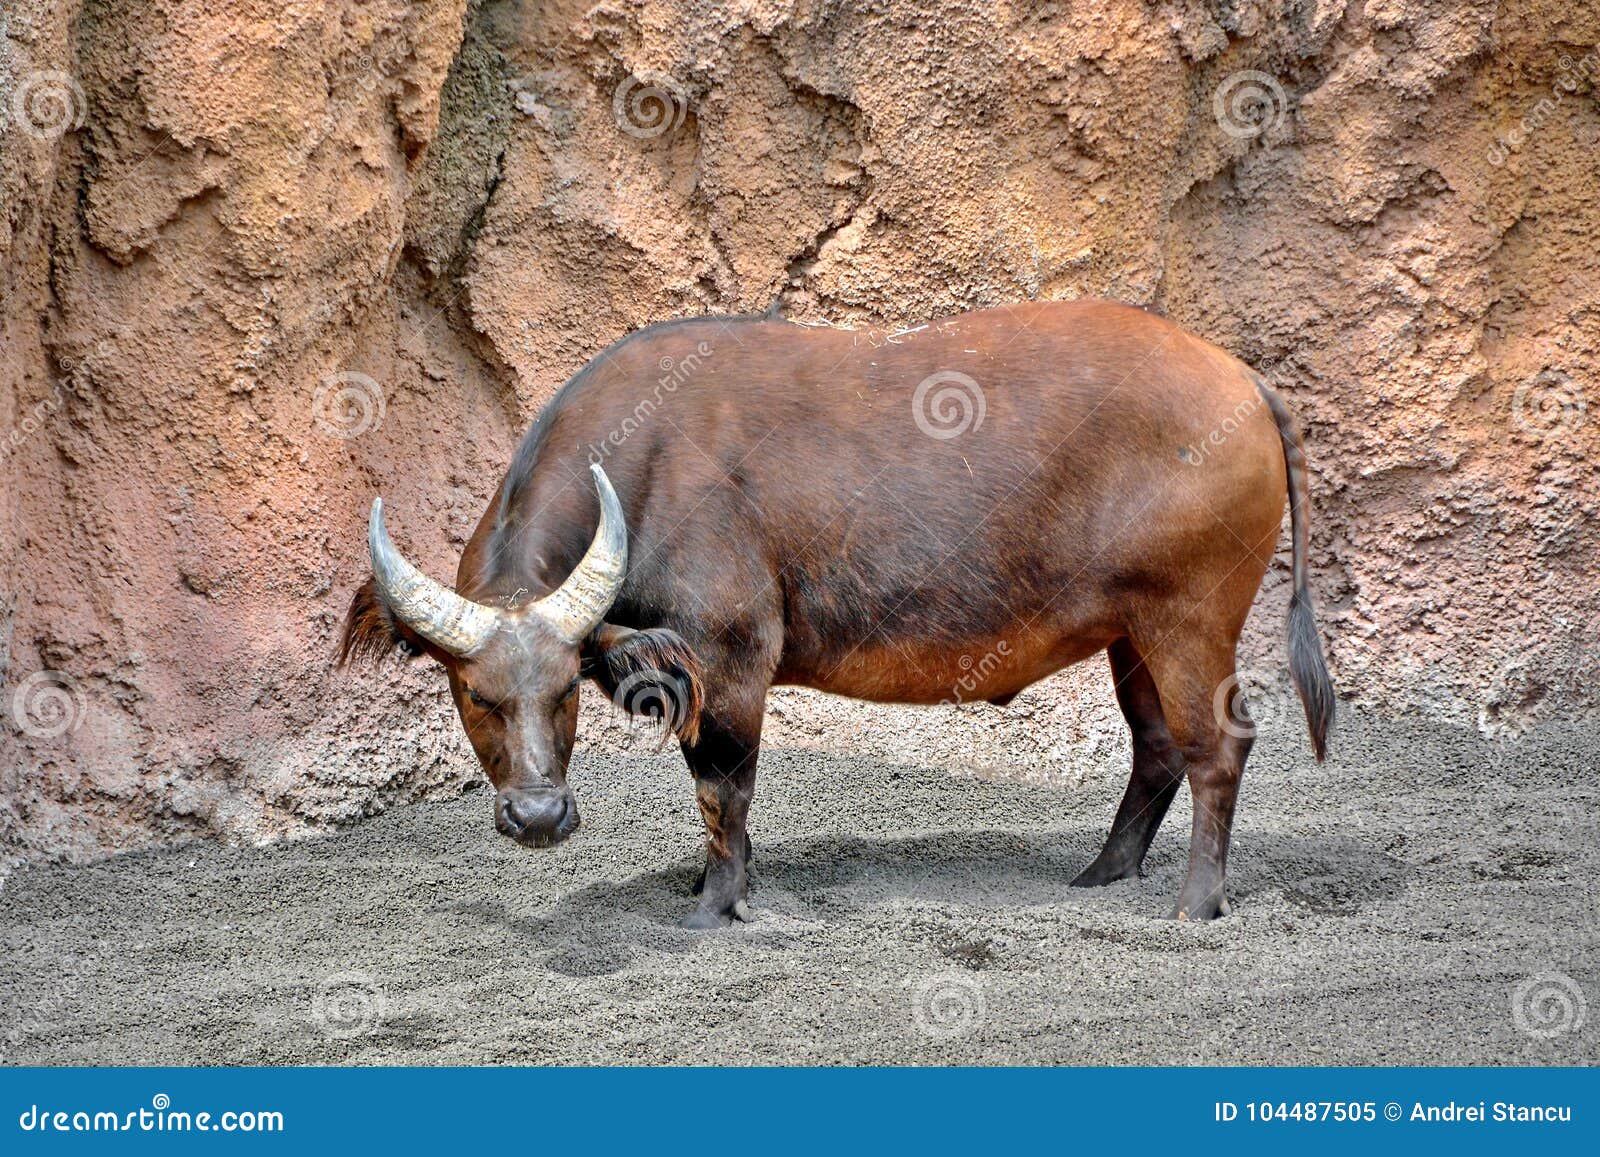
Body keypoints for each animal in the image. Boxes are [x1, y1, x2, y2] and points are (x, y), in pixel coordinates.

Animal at [340, 299, 1333, 925]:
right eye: (474, 695)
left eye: (566, 694)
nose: (540, 816)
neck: (641, 468)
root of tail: (1242, 380)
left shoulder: (731, 656)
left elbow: (722, 786)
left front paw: (716, 905)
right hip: (1132, 630)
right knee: (1157, 749)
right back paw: (1101, 874)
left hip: (1188, 619)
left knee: (1216, 749)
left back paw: (1194, 902)